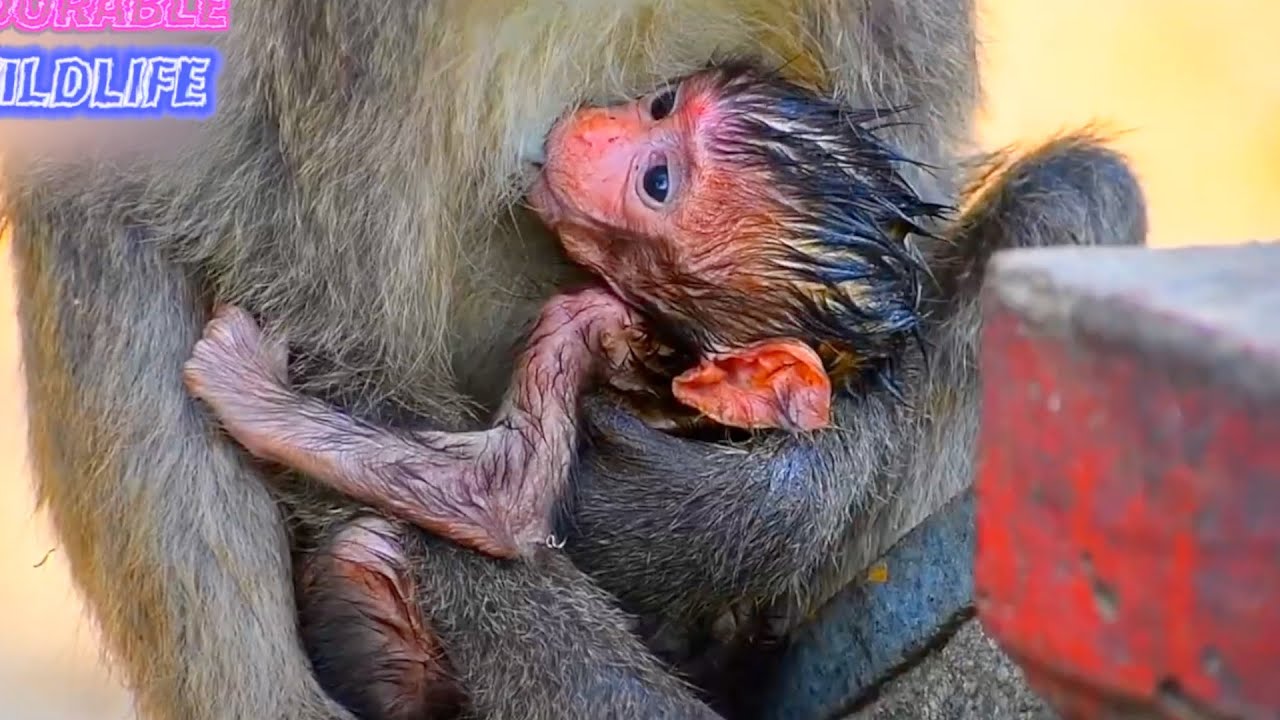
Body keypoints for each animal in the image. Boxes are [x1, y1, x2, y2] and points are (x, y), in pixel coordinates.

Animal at [2, 1, 1148, 719]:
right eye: (659, 111)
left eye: (659, 179)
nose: (591, 131)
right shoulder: (347, 29)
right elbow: (334, 333)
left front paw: (722, 507)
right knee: (93, 212)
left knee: (1075, 197)